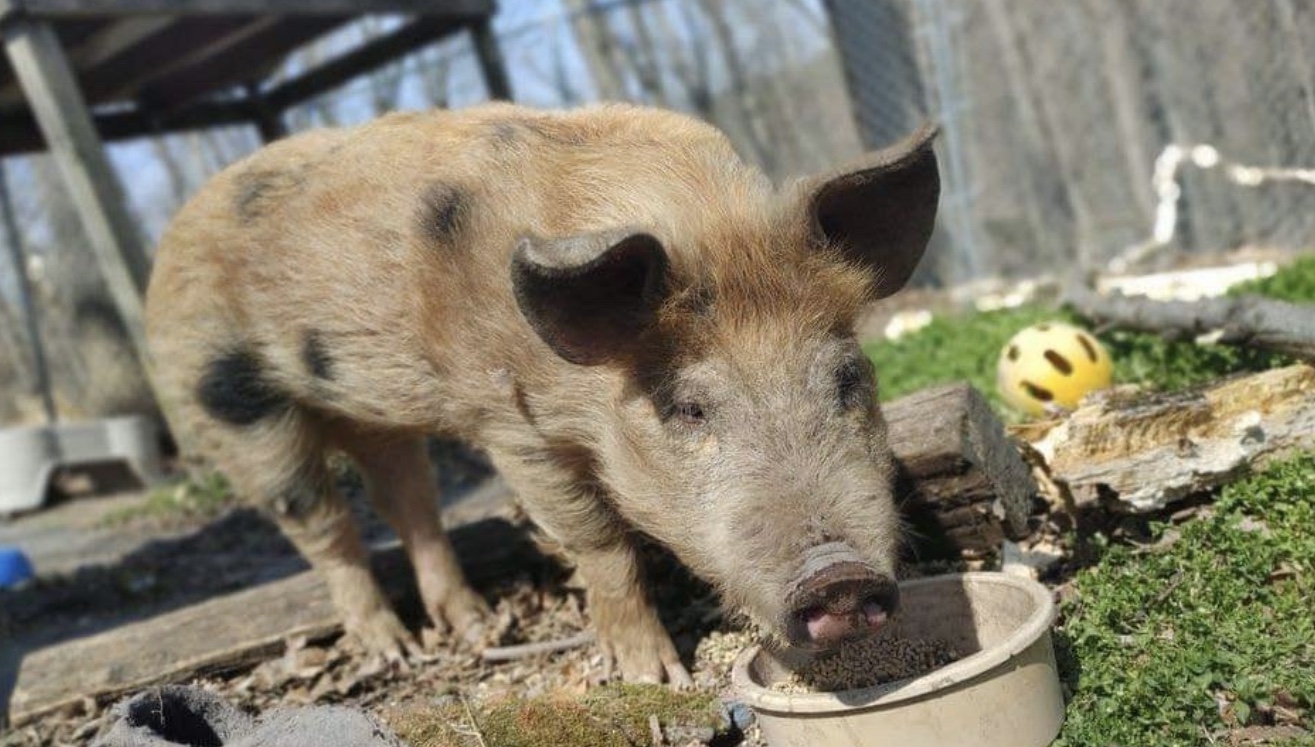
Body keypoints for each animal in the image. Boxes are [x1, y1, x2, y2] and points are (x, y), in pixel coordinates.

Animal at [145, 103, 939, 685]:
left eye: (848, 376)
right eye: (686, 406)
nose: (838, 577)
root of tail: (173, 231)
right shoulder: (512, 426)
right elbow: (601, 543)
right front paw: (654, 679)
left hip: (372, 416)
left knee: (408, 500)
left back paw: (466, 622)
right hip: (226, 400)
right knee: (322, 524)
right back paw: (392, 651)